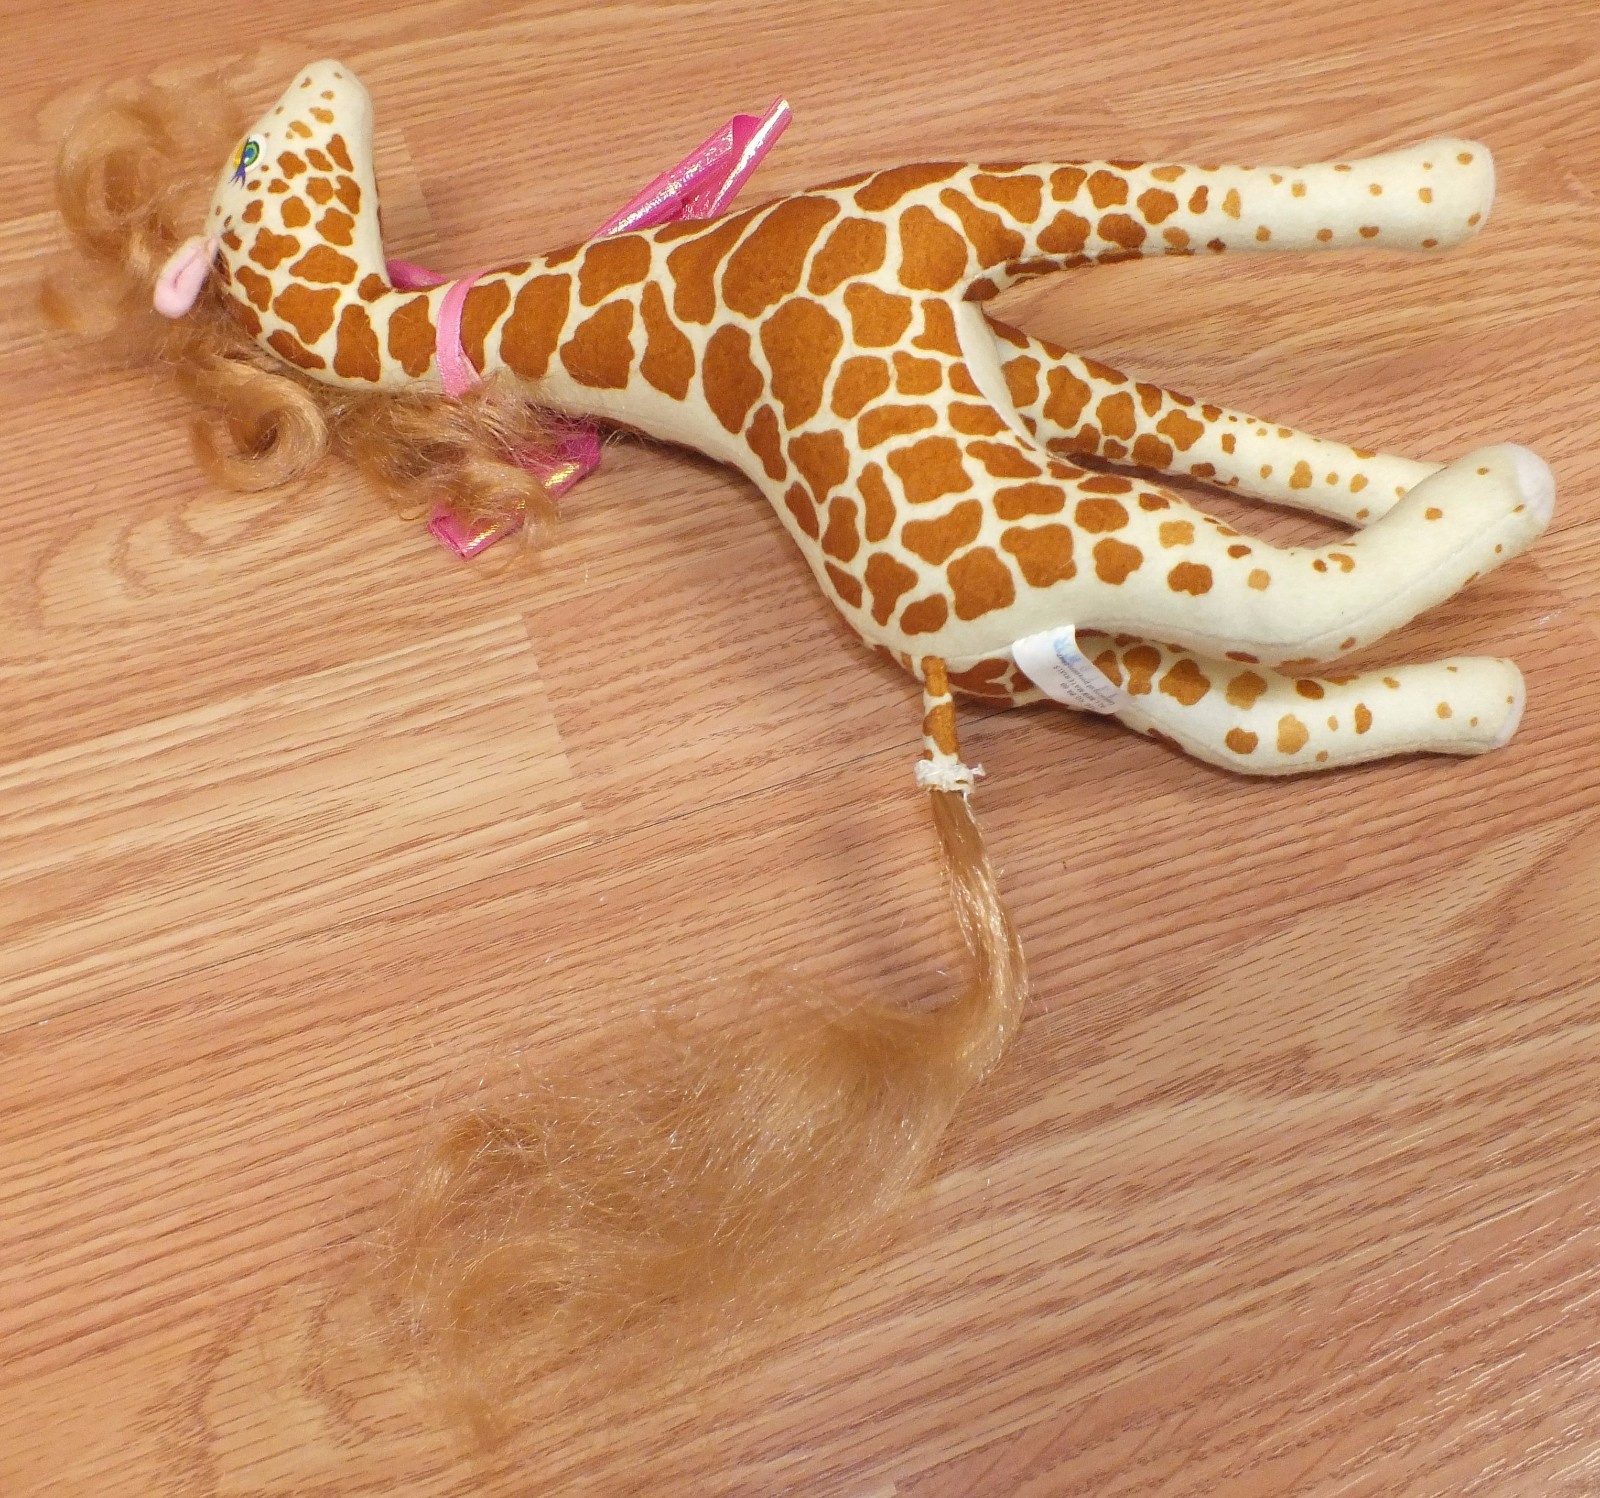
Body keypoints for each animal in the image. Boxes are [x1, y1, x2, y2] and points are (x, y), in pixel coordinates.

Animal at [167, 59, 1553, 777]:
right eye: (249, 157)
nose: (324, 66)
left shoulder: (1025, 357)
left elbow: (1225, 417)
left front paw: (1390, 466)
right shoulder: (968, 202)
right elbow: (1212, 190)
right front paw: (1450, 176)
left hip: (1107, 656)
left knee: (1281, 715)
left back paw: (1480, 687)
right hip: (1075, 546)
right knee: (1296, 604)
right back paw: (1502, 496)